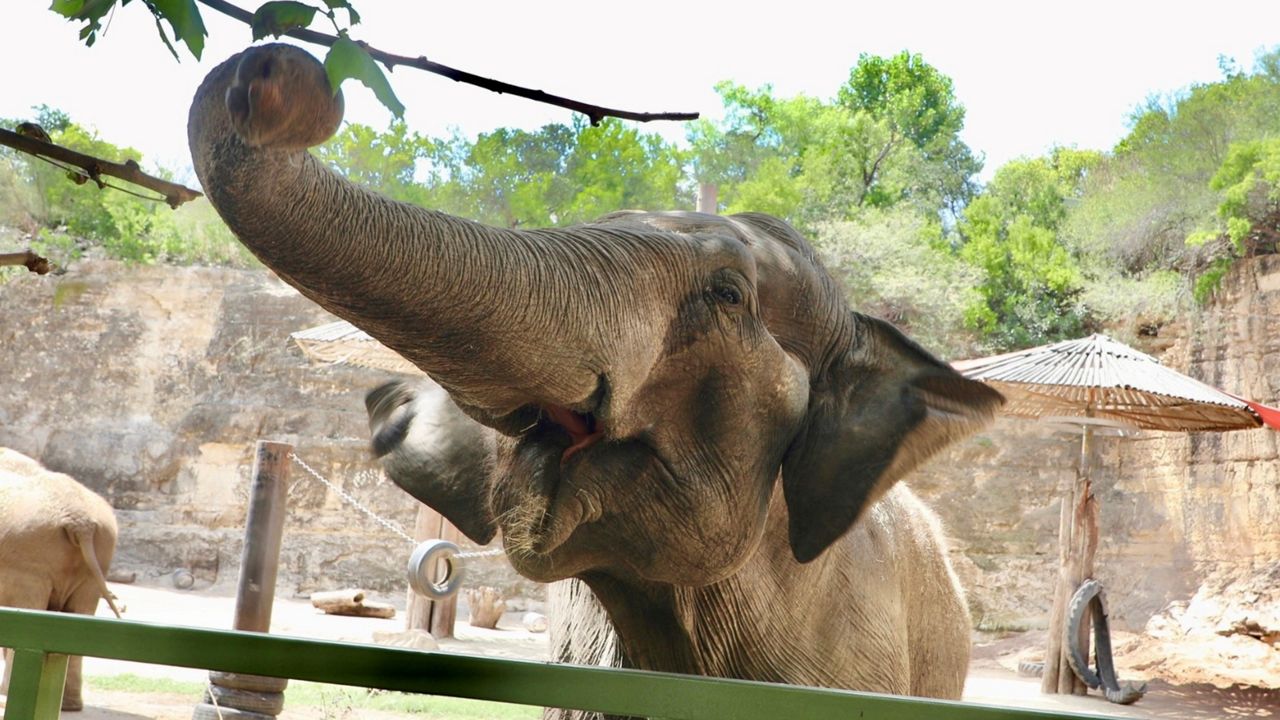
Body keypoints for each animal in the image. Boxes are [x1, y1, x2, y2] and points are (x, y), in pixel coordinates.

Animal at [0, 445, 120, 707]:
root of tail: (80, 520)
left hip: (30, 558)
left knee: (30, 611)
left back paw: (7, 697)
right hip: (98, 556)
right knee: (80, 614)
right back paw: (71, 705)